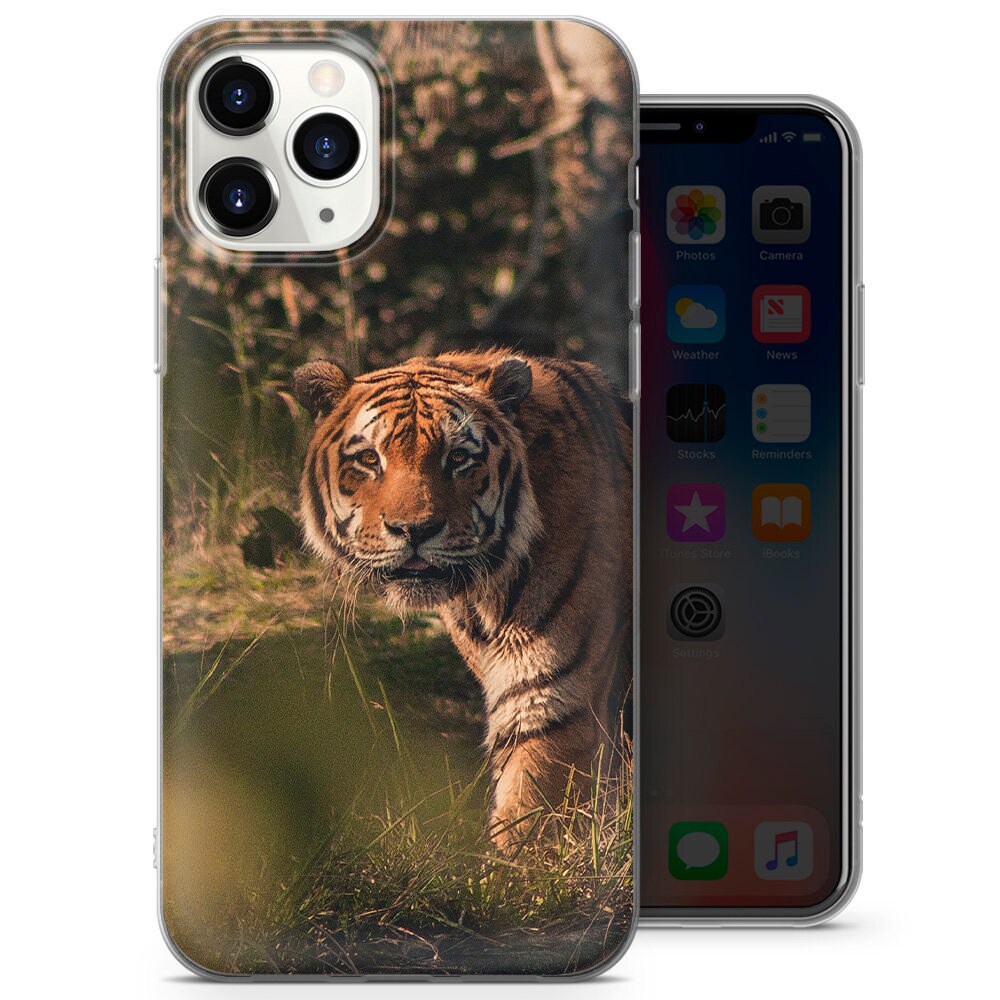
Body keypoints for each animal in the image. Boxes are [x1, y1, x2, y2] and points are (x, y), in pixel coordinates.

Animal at [293, 349, 631, 846]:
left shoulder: (551, 695)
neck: (482, 594)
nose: (413, 529)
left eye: (457, 458)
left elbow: (533, 820)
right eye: (370, 458)